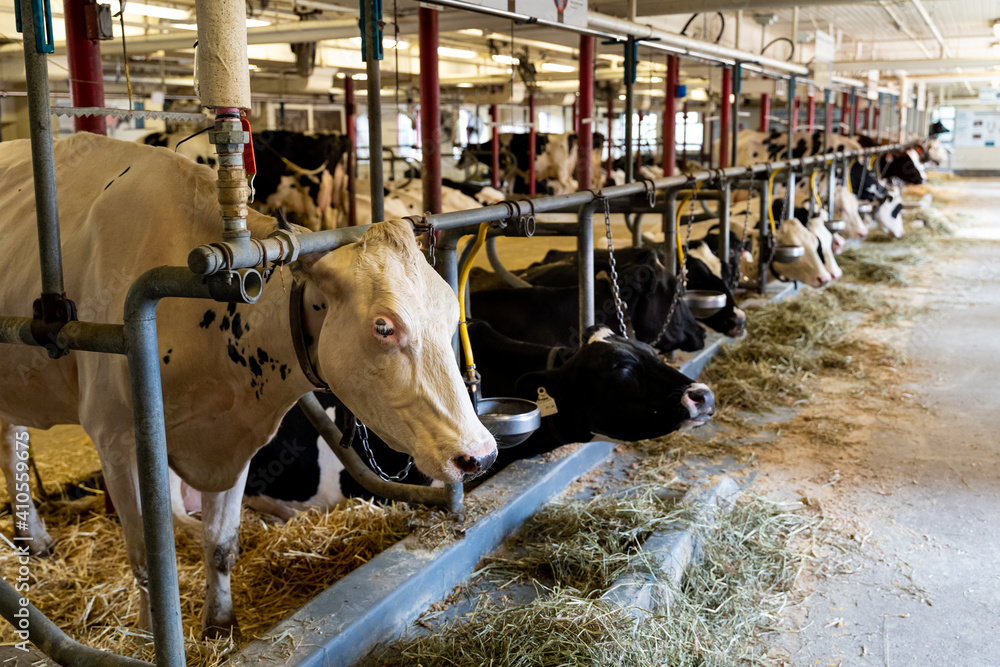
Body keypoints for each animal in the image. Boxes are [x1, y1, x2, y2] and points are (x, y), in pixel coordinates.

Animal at [0, 133, 496, 637]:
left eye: (451, 316)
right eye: (383, 327)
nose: (481, 453)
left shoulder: (235, 441)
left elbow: (221, 544)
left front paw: (220, 624)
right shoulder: (115, 439)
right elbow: (144, 561)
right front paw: (146, 631)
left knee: (11, 440)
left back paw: (32, 538)